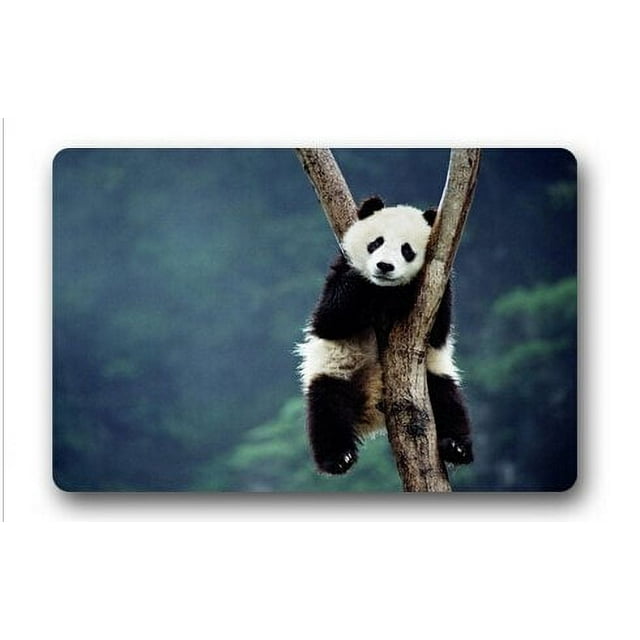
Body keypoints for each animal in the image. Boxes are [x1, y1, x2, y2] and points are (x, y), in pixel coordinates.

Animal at [297, 196, 473, 475]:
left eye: (407, 250)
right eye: (376, 242)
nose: (384, 266)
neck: (384, 291)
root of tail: (372, 411)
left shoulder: (435, 288)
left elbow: (438, 332)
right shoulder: (339, 272)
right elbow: (329, 319)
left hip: (432, 378)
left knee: (448, 401)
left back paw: (457, 447)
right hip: (336, 370)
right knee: (327, 410)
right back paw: (338, 458)